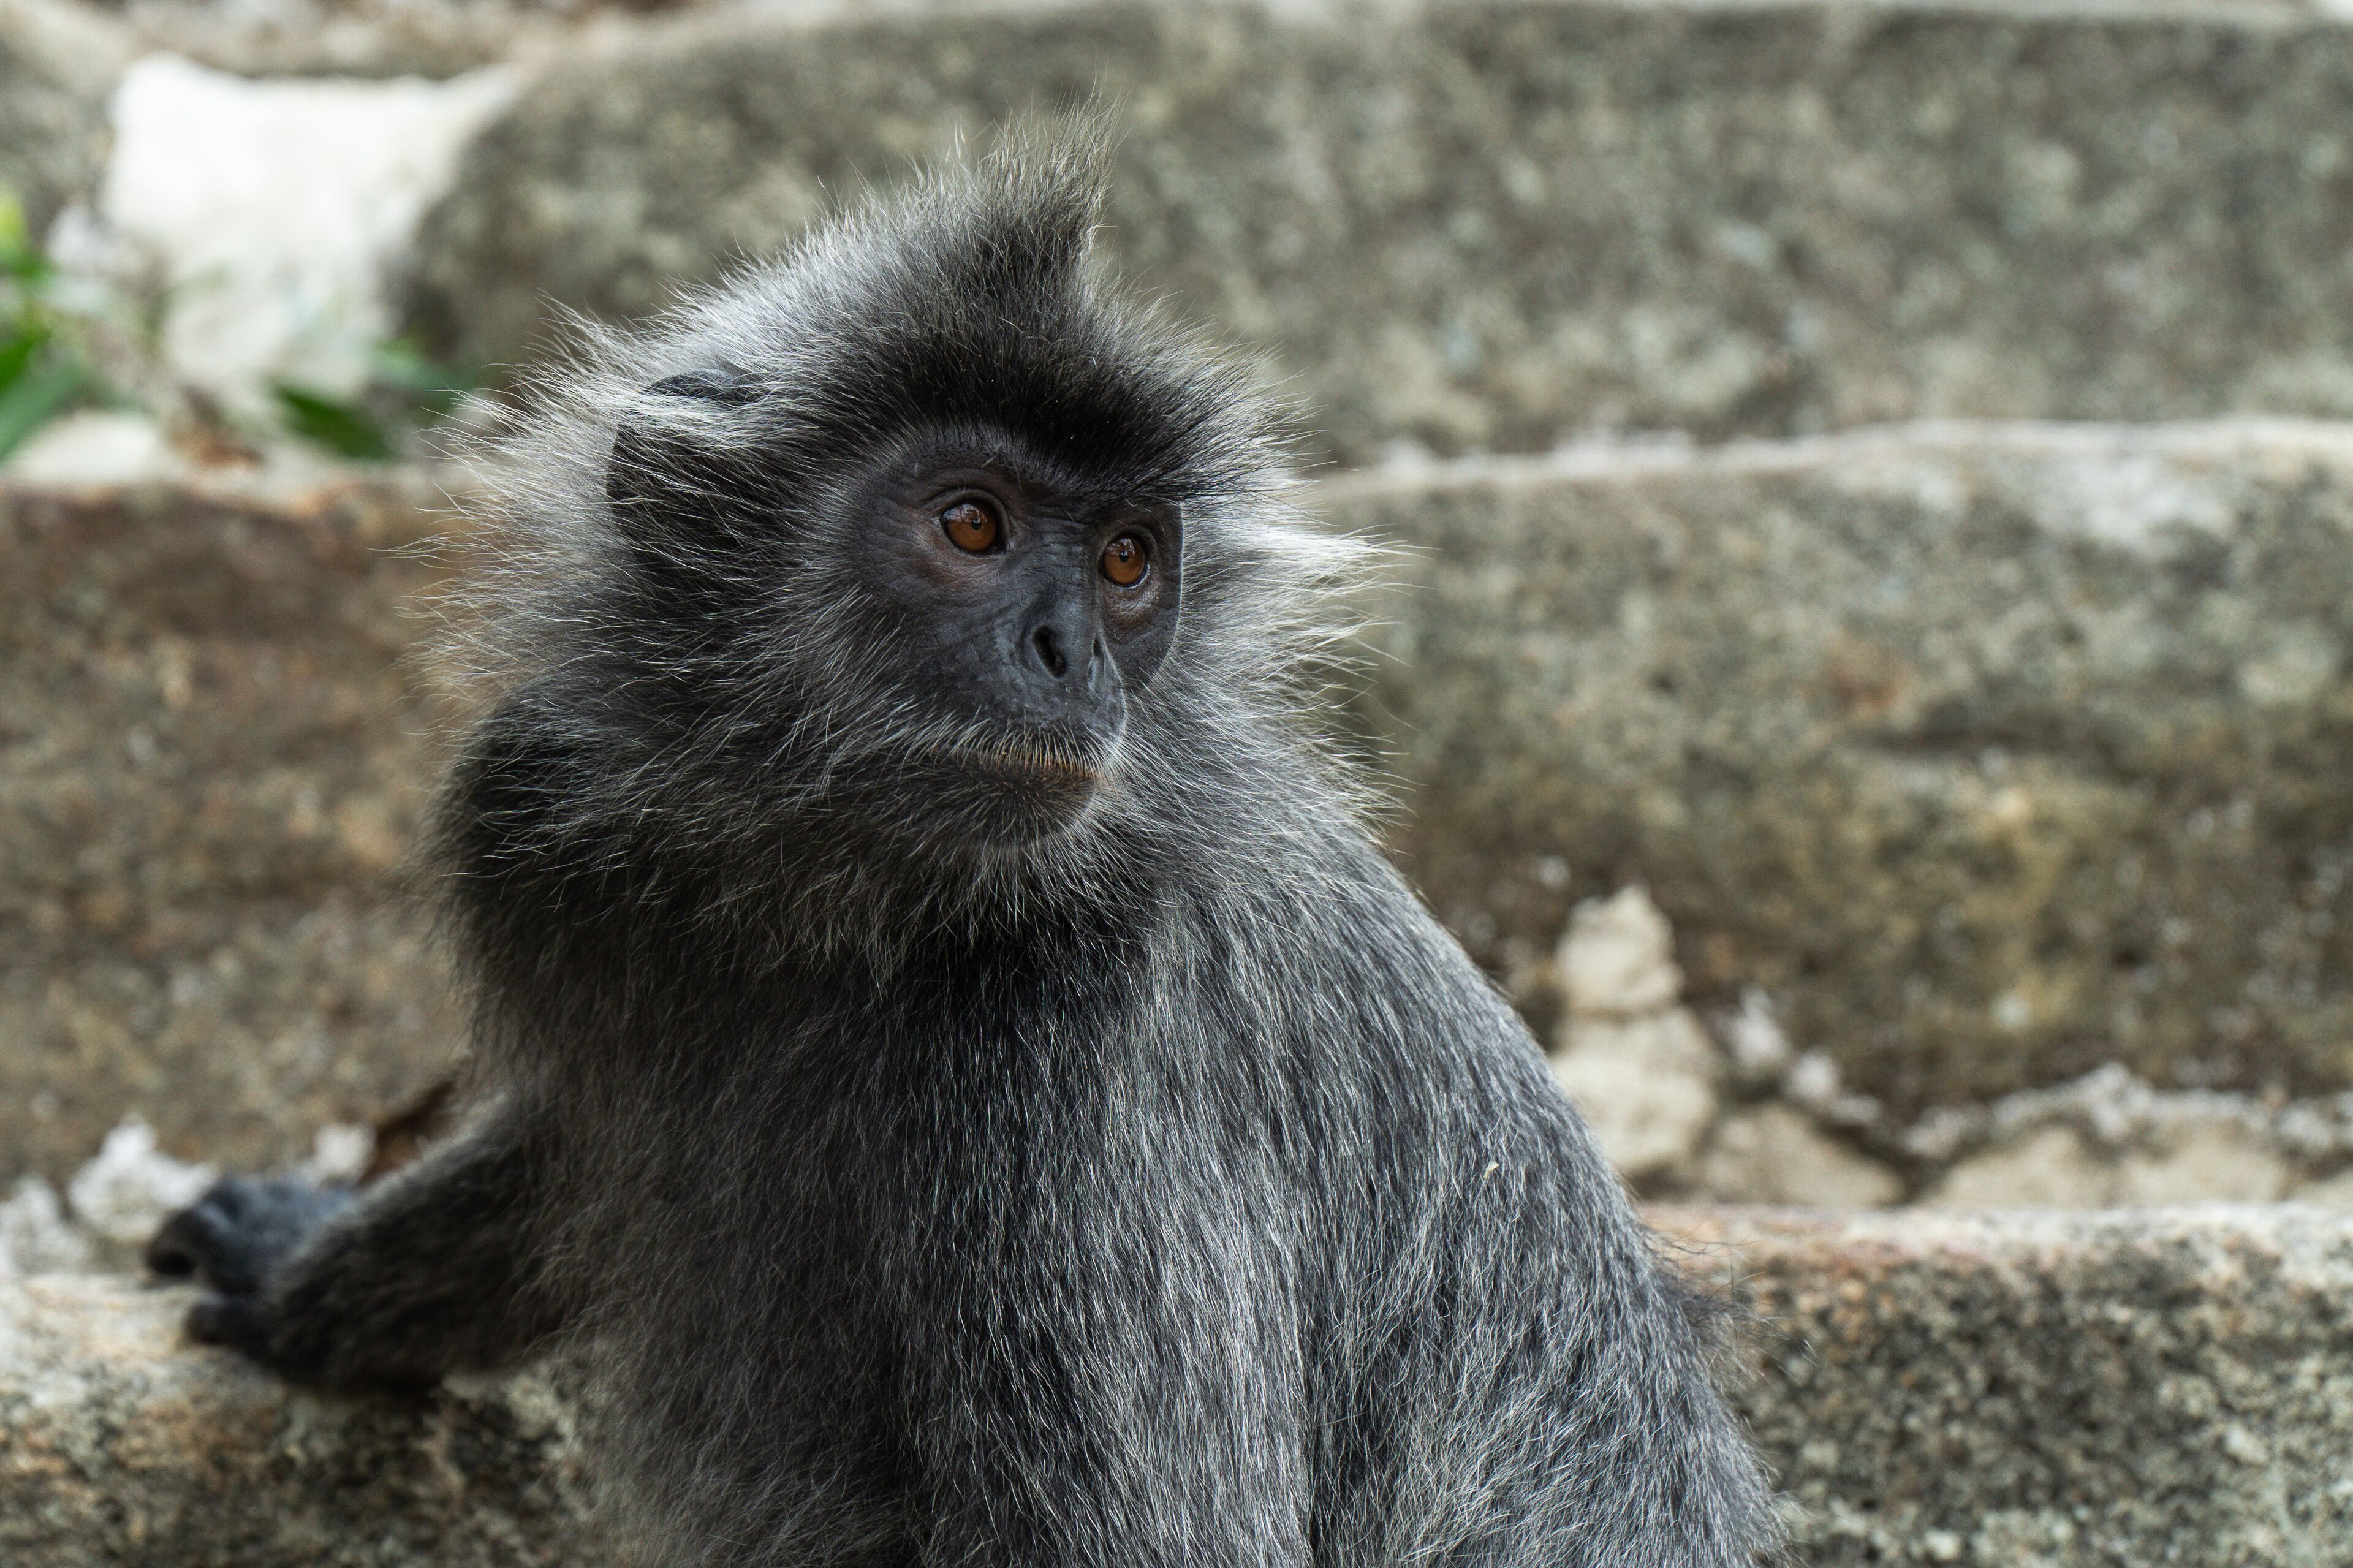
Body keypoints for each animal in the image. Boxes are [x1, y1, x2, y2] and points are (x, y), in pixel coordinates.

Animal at [145, 127, 1776, 1566]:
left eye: (1125, 560)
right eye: (973, 525)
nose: (1071, 654)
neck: (838, 896)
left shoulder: (1085, 1055)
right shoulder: (549, 821)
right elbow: (556, 1163)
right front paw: (299, 1272)